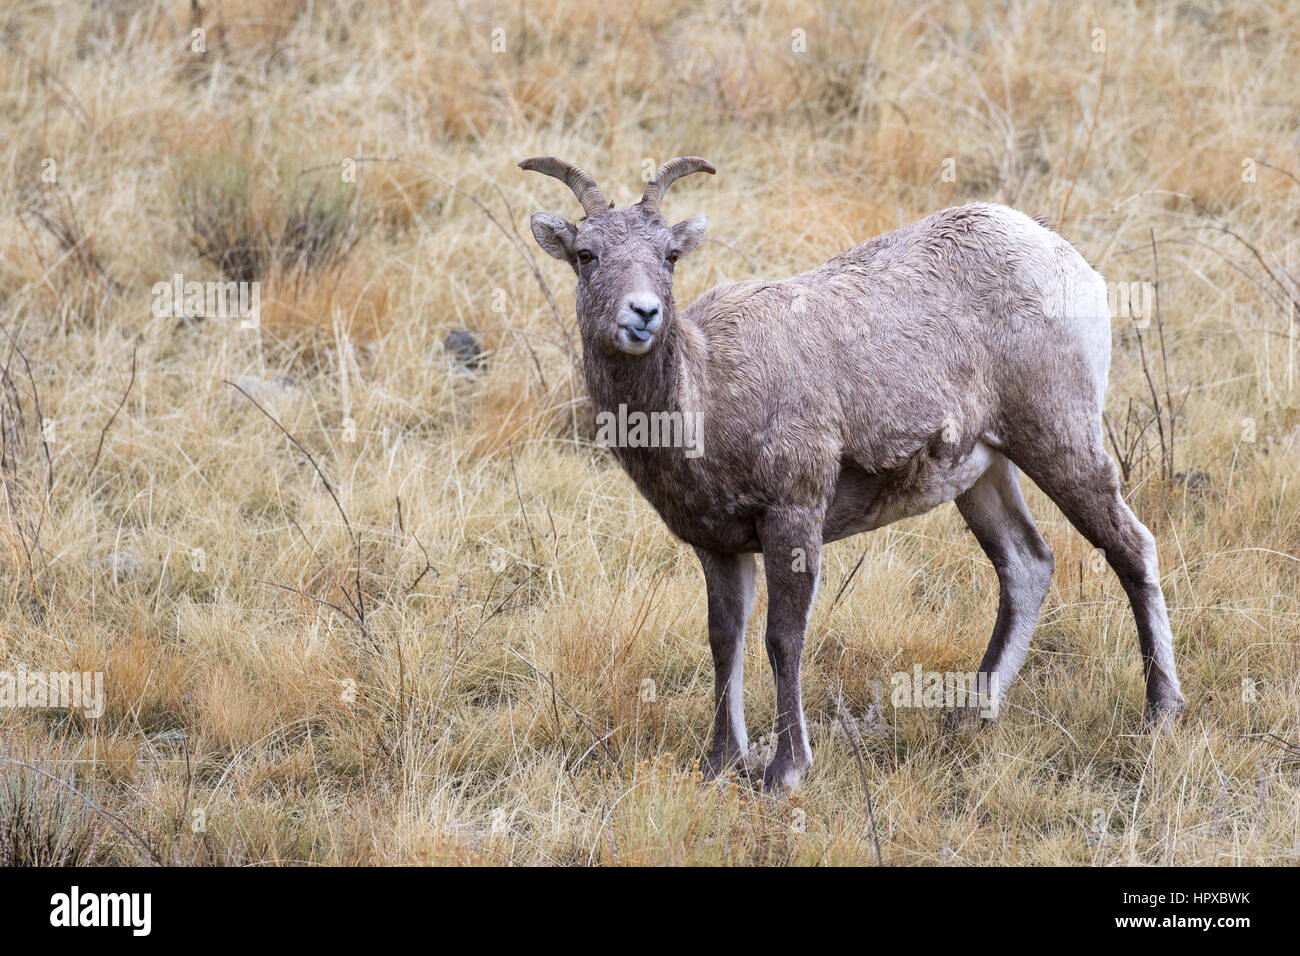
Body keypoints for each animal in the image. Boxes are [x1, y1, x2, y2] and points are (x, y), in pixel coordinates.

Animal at [520, 155, 1186, 791]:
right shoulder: (718, 547)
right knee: (1027, 564)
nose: (643, 314)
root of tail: (1063, 255)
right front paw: (719, 765)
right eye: (586, 255)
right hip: (983, 475)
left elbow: (781, 639)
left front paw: (785, 772)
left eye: (670, 255)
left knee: (1131, 547)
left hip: (1059, 440)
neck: (705, 392)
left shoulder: (793, 517)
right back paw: (969, 717)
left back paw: (1161, 712)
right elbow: (724, 640)